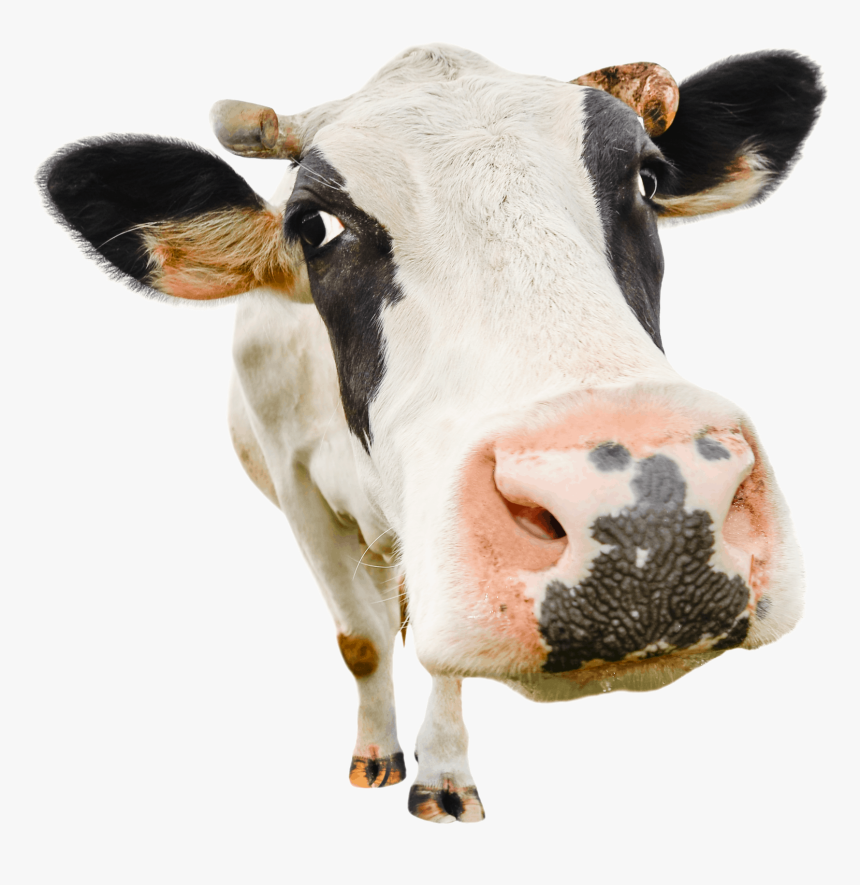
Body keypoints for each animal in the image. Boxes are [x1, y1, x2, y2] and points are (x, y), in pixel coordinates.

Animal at [39, 44, 823, 823]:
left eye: (648, 178)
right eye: (312, 226)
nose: (650, 522)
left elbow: (436, 653)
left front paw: (442, 772)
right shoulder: (298, 488)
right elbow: (361, 641)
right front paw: (375, 754)